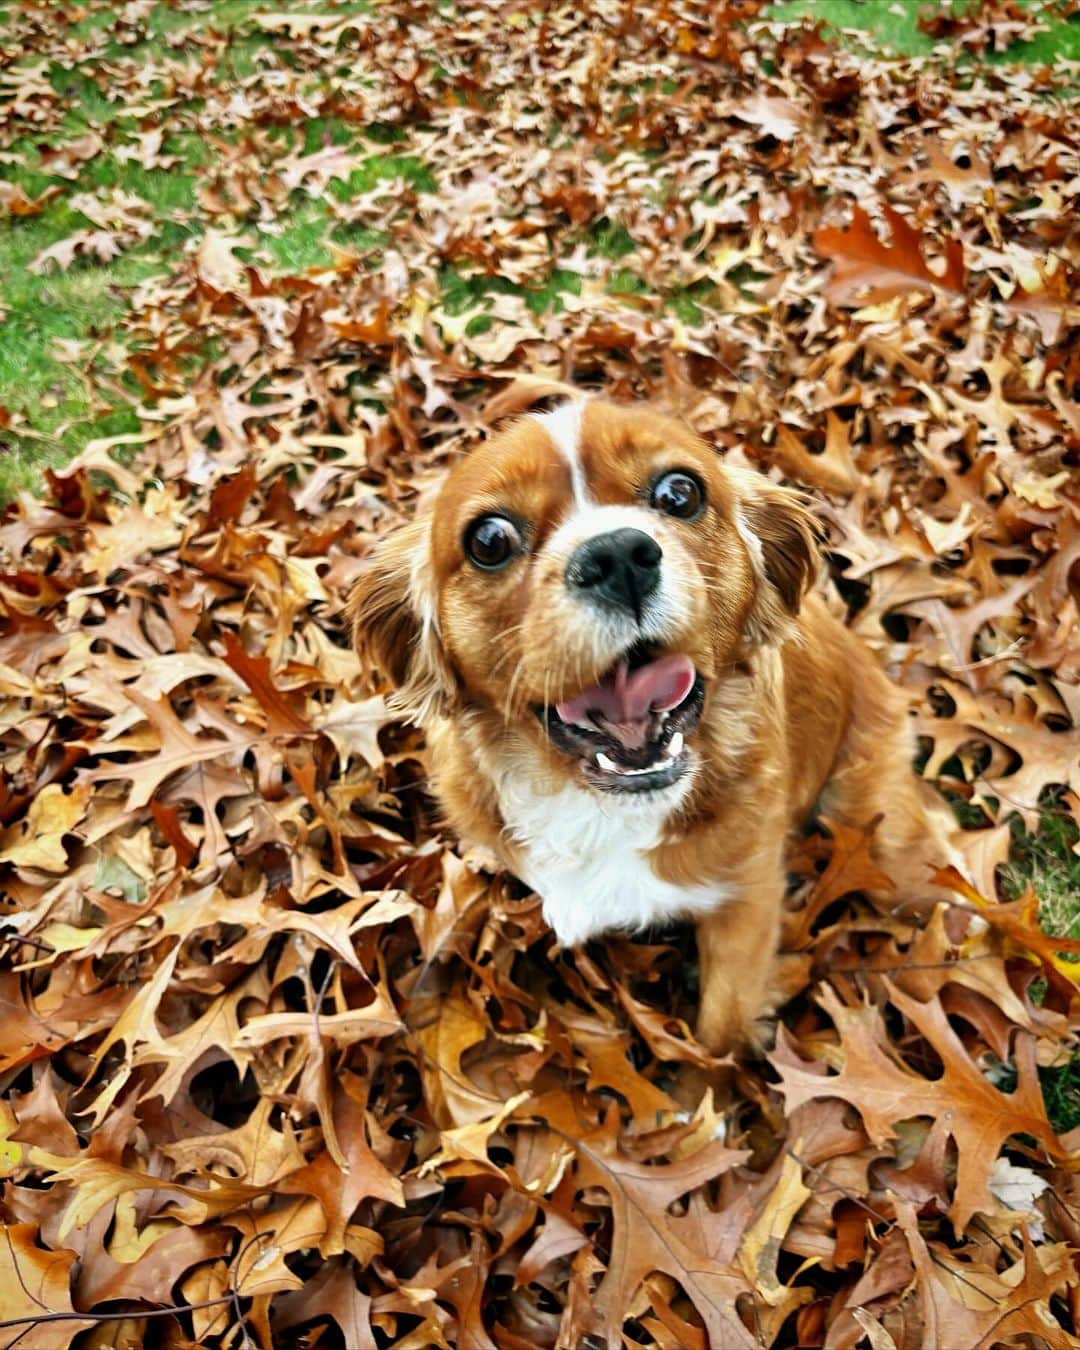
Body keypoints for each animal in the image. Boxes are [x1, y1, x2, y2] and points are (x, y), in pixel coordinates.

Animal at [353, 399, 955, 1053]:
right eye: (489, 540)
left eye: (679, 493)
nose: (617, 555)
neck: (598, 803)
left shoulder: (749, 897)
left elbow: (721, 1026)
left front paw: (715, 1076)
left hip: (888, 848)